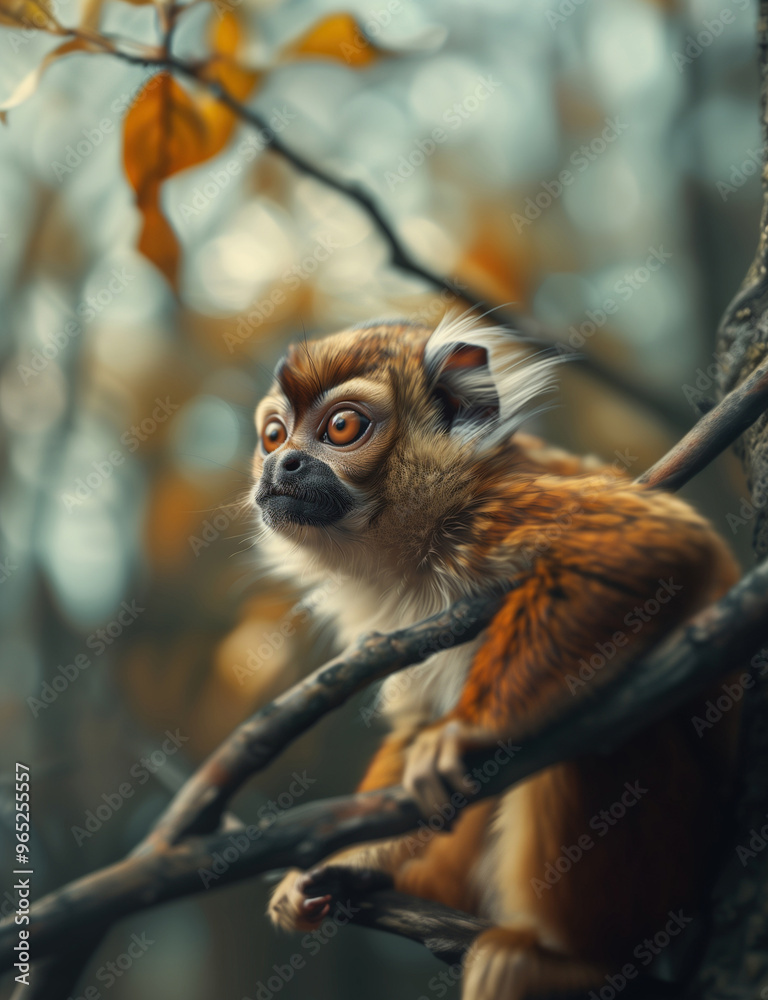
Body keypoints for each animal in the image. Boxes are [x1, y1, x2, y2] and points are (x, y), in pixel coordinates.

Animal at [253, 314, 741, 1000]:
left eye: (341, 428)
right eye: (273, 436)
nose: (283, 462)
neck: (413, 554)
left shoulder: (497, 511)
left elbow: (651, 539)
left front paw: (468, 729)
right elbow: (412, 725)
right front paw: (350, 859)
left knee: (597, 737)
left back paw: (570, 962)